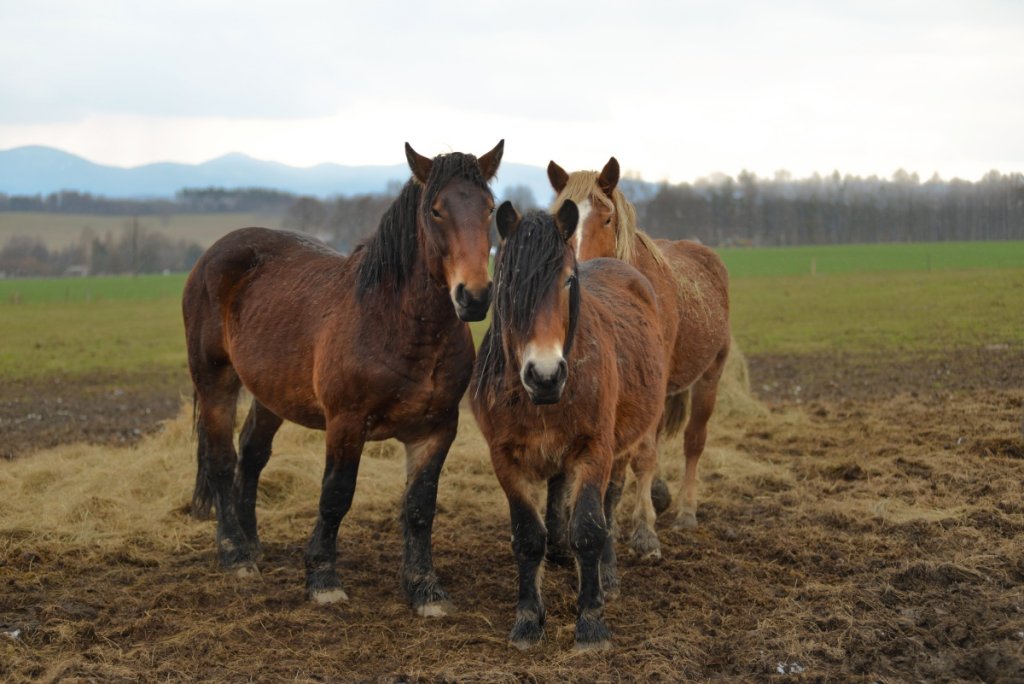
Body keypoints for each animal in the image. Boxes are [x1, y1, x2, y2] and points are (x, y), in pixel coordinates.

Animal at [182, 140, 503, 616]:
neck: (397, 325)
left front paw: (425, 589)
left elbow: (420, 507)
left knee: (252, 454)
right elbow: (335, 496)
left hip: (271, 392)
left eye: (489, 208)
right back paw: (236, 554)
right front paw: (322, 579)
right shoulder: (346, 424)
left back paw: (252, 542)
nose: (475, 296)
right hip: (214, 380)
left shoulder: (437, 430)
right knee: (222, 460)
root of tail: (215, 253)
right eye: (436, 211)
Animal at [470, 200, 666, 650]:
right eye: (507, 281)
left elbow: (590, 528)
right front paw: (528, 619)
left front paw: (591, 621)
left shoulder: (595, 450)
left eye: (568, 280)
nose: (544, 375)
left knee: (610, 503)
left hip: (623, 445)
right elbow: (528, 537)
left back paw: (608, 576)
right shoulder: (504, 458)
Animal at [548, 157, 732, 544]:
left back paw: (686, 510)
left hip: (710, 375)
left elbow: (641, 454)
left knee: (694, 440)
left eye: (606, 219)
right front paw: (610, 522)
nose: (575, 277)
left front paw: (644, 528)